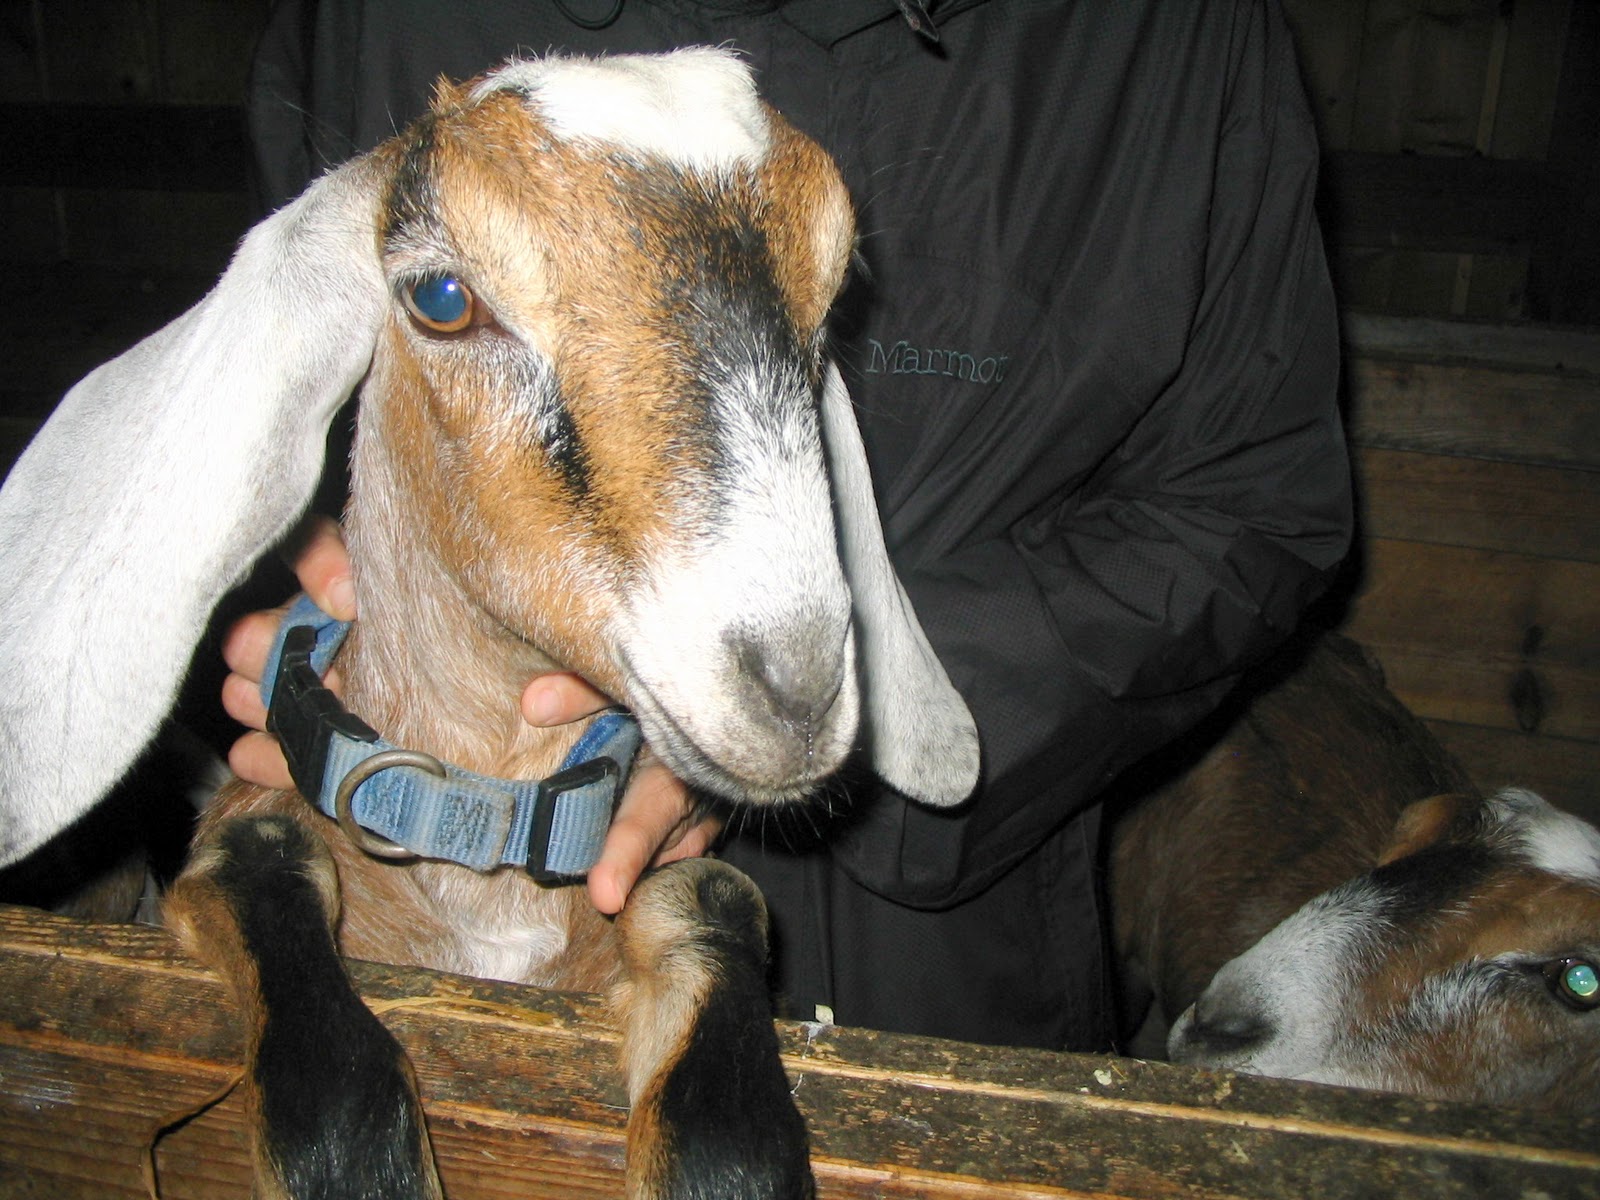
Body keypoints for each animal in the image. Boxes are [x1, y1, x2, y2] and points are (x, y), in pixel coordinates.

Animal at [0, 49, 980, 1196]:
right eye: (439, 297)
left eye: (829, 305)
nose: (794, 686)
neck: (486, 854)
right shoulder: (240, 838)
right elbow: (301, 977)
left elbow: (716, 918)